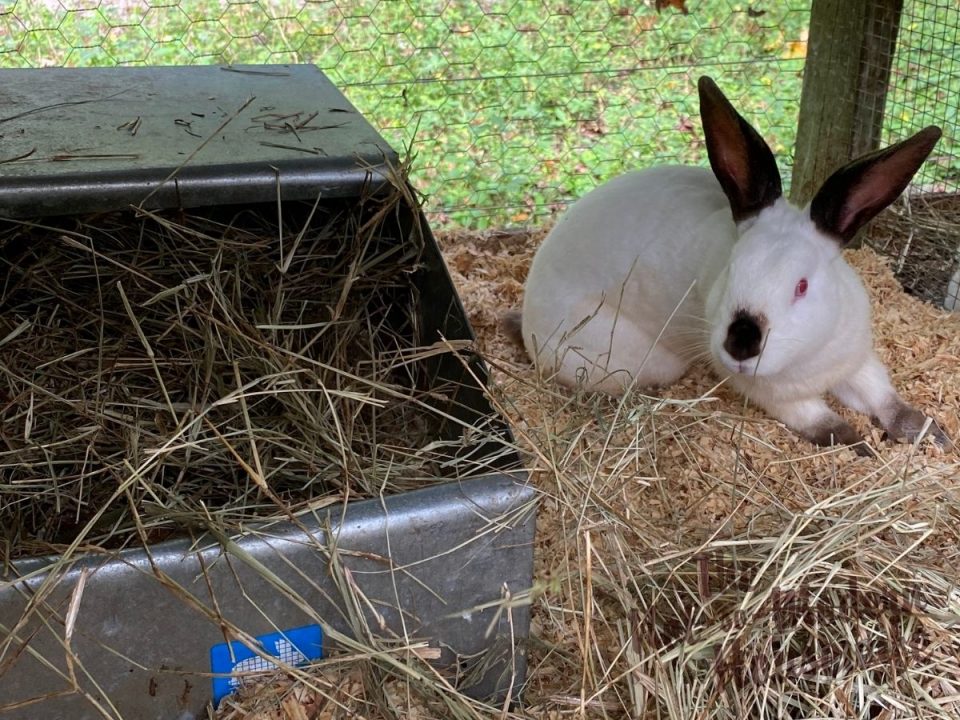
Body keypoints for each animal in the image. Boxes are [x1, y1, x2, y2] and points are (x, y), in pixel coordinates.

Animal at [505, 76, 951, 455]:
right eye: (732, 269)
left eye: (802, 285)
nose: (741, 345)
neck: (807, 358)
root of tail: (528, 323)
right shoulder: (776, 397)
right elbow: (822, 423)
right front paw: (858, 447)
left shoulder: (858, 362)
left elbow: (886, 400)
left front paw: (933, 435)